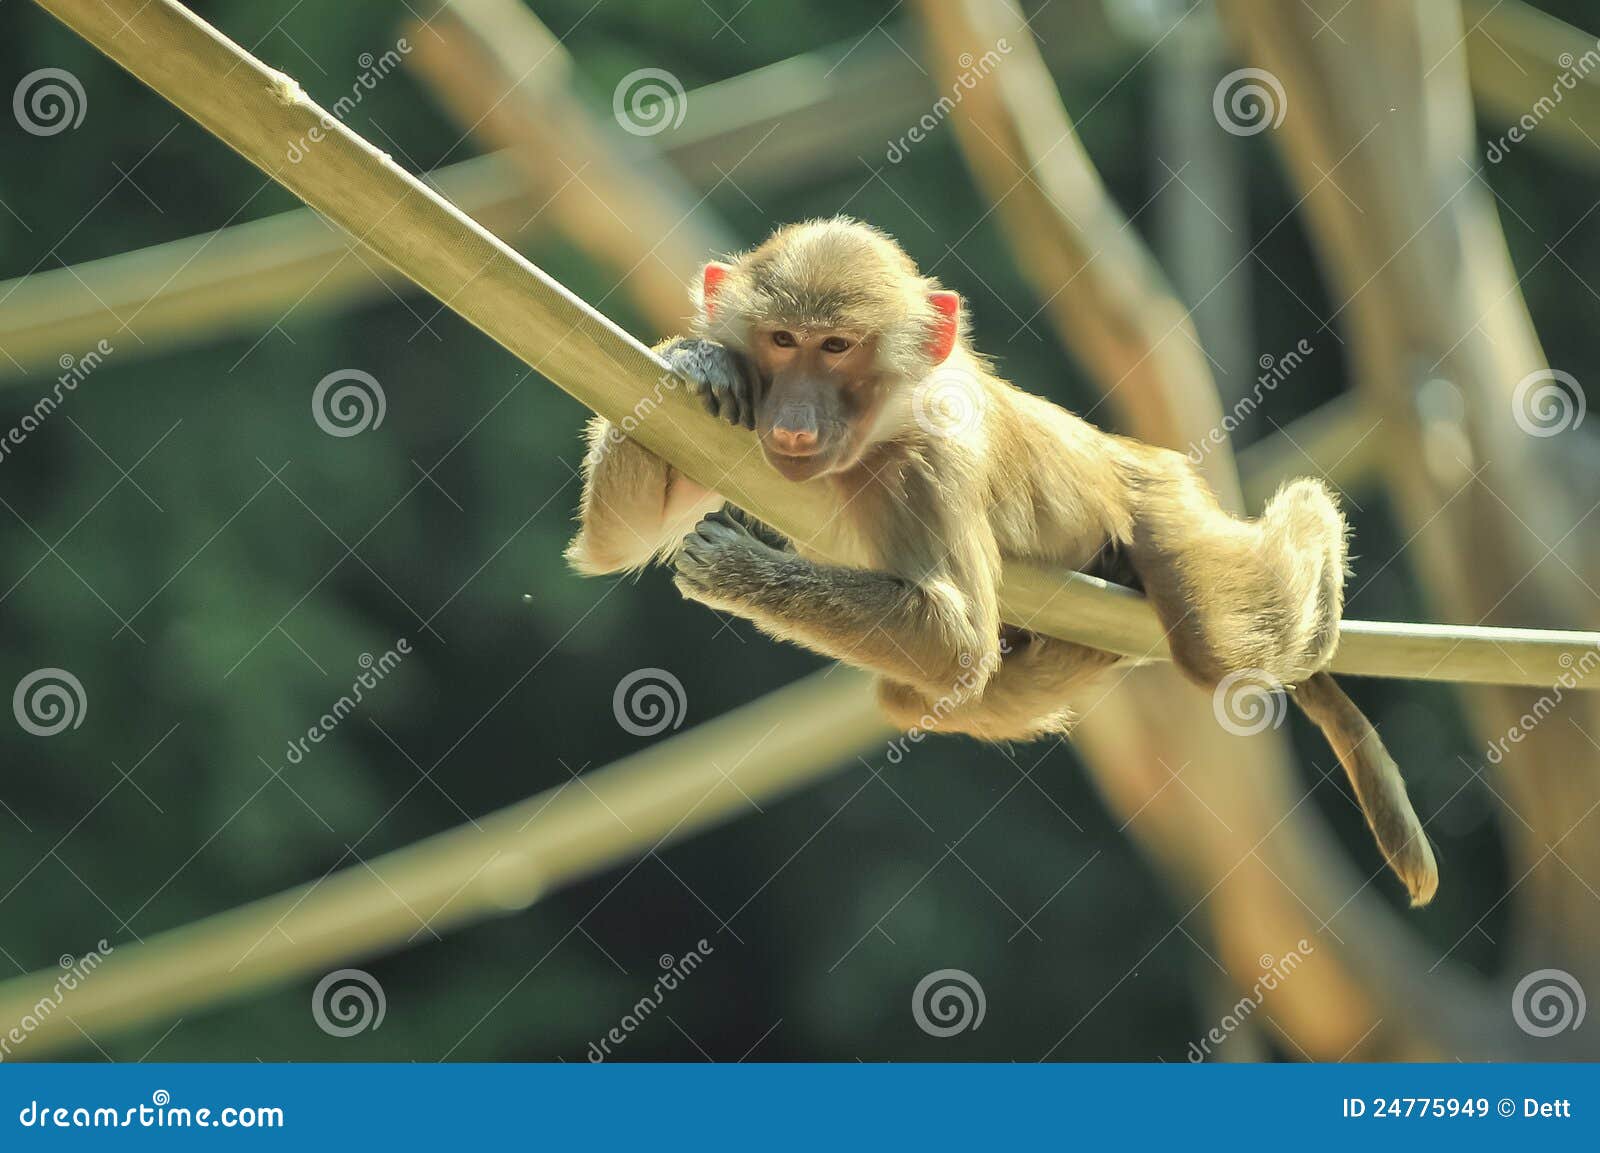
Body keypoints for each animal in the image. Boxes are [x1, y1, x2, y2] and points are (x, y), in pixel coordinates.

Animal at [567, 217, 1438, 907]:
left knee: (1216, 650)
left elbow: (956, 644)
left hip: (1163, 500)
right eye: (782, 340)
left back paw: (1313, 531)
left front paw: (738, 575)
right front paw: (702, 359)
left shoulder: (935, 461)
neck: (877, 433)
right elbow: (621, 538)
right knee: (913, 696)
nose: (794, 420)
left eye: (837, 347)